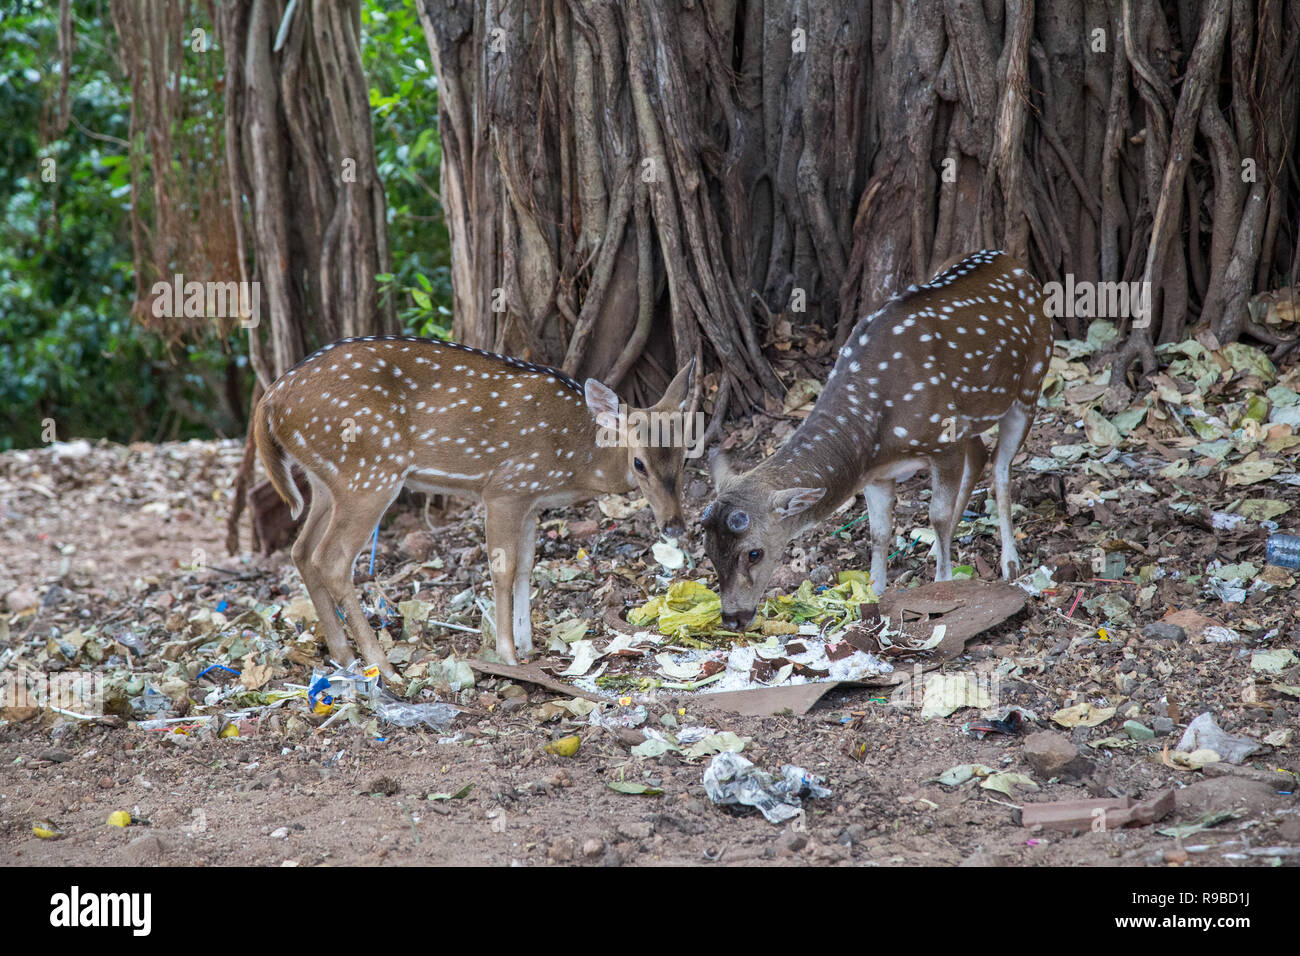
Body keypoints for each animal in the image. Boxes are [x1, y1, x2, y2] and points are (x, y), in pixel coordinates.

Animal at [253, 335, 696, 678]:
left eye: (685, 456)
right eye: (638, 463)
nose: (674, 525)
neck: (574, 461)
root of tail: (268, 401)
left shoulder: (532, 501)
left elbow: (526, 567)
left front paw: (528, 644)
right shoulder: (506, 488)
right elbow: (502, 570)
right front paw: (508, 655)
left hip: (327, 481)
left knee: (301, 551)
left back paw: (344, 657)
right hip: (368, 473)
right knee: (332, 558)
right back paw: (383, 667)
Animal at [702, 250, 1052, 631]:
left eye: (754, 552)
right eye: (708, 551)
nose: (732, 618)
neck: (875, 435)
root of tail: (1014, 263)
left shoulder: (944, 441)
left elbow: (937, 514)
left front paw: (943, 583)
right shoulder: (877, 474)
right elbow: (879, 531)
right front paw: (873, 590)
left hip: (1031, 383)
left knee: (1001, 467)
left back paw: (1010, 562)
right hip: (973, 417)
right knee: (980, 454)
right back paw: (936, 547)